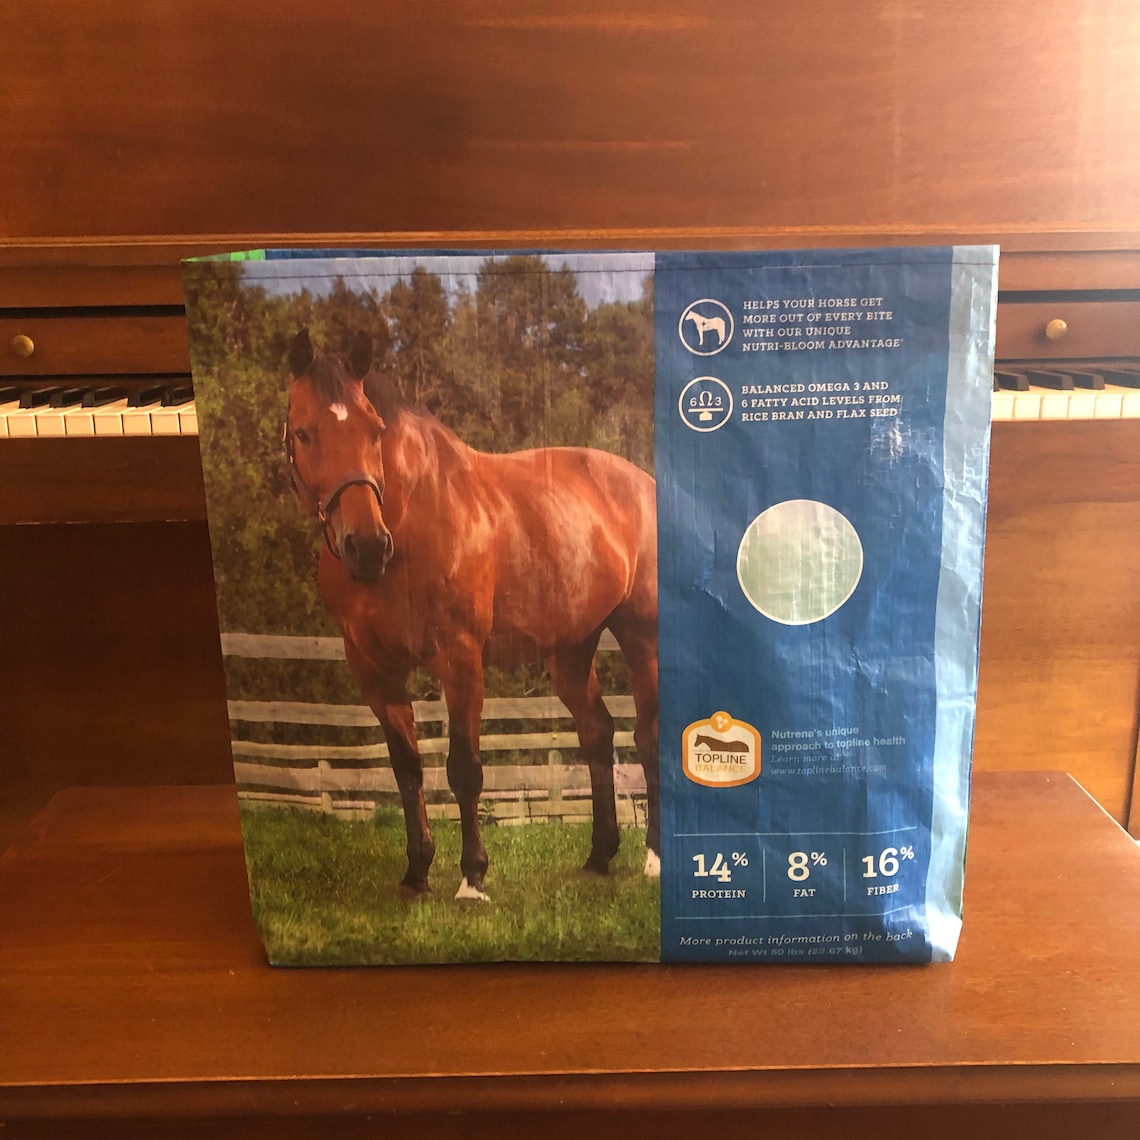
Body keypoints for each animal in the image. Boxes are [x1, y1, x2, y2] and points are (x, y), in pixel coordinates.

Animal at [283, 329, 660, 901]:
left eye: (374, 430)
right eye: (304, 433)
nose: (366, 547)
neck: (411, 517)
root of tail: (644, 484)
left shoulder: (459, 656)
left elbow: (464, 767)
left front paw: (472, 878)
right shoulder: (372, 668)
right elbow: (406, 768)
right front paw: (416, 875)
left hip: (642, 638)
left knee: (649, 736)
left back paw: (654, 860)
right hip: (571, 650)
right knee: (597, 733)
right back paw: (598, 858)